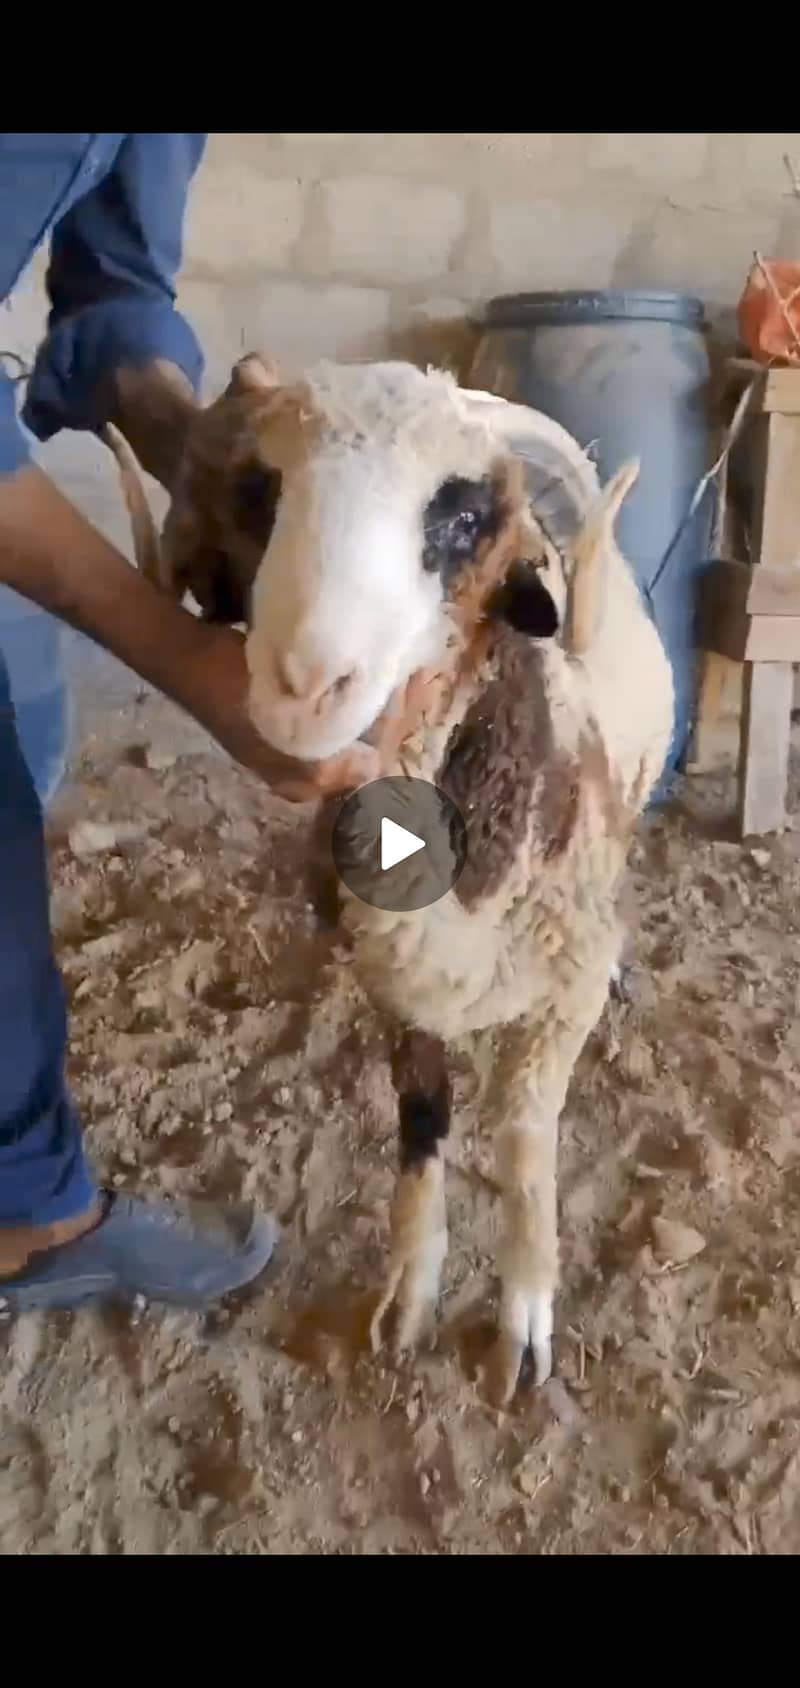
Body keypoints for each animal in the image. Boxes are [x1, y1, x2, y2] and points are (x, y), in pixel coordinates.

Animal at [106, 354, 674, 1406]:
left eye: (463, 516)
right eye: (262, 493)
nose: (306, 682)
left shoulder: (558, 999)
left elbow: (525, 1141)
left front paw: (523, 1321)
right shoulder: (397, 992)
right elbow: (421, 1128)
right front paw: (409, 1299)